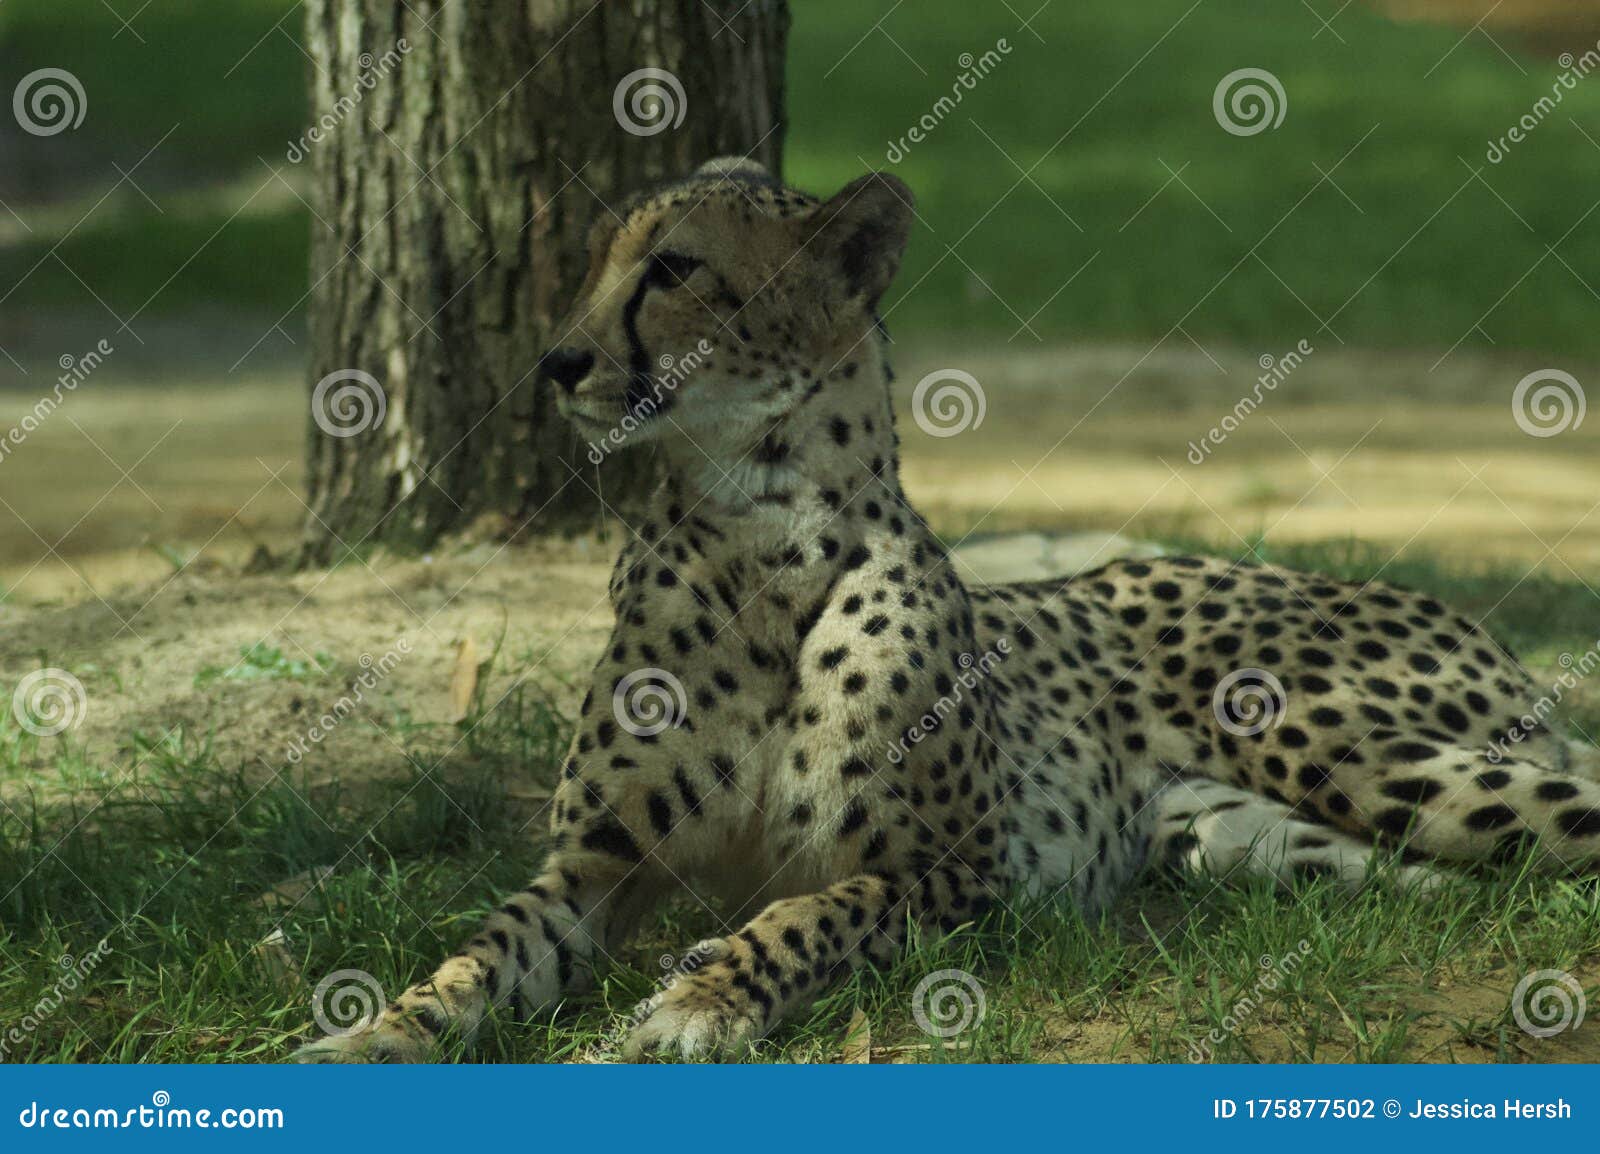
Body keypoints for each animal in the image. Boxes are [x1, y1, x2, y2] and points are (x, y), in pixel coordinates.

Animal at [297, 156, 1600, 1063]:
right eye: (595, 261)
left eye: (673, 269)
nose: (558, 362)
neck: (761, 534)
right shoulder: (594, 865)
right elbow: (478, 952)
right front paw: (375, 1028)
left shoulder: (967, 869)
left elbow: (809, 908)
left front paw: (701, 995)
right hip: (1254, 837)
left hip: (1352, 752)